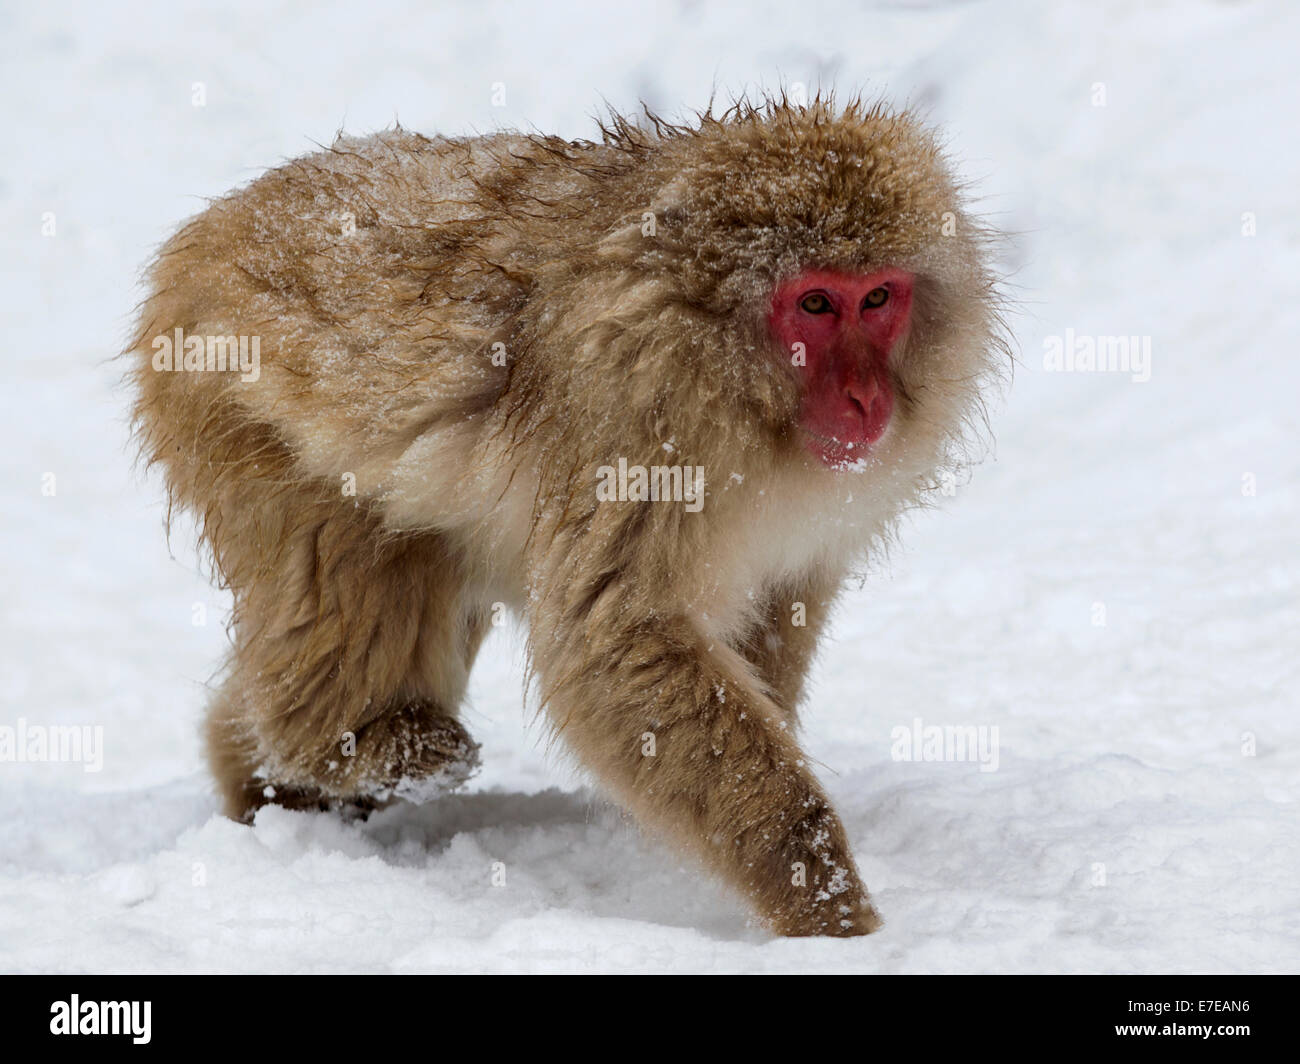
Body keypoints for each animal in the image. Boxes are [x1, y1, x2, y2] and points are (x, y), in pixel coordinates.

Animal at [128, 96, 1006, 937]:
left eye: (879, 298)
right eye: (817, 304)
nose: (866, 398)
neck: (739, 383)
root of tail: (212, 230)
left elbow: (771, 612)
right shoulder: (640, 412)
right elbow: (613, 640)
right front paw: (824, 902)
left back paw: (263, 779)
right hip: (237, 419)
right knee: (347, 606)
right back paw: (358, 749)